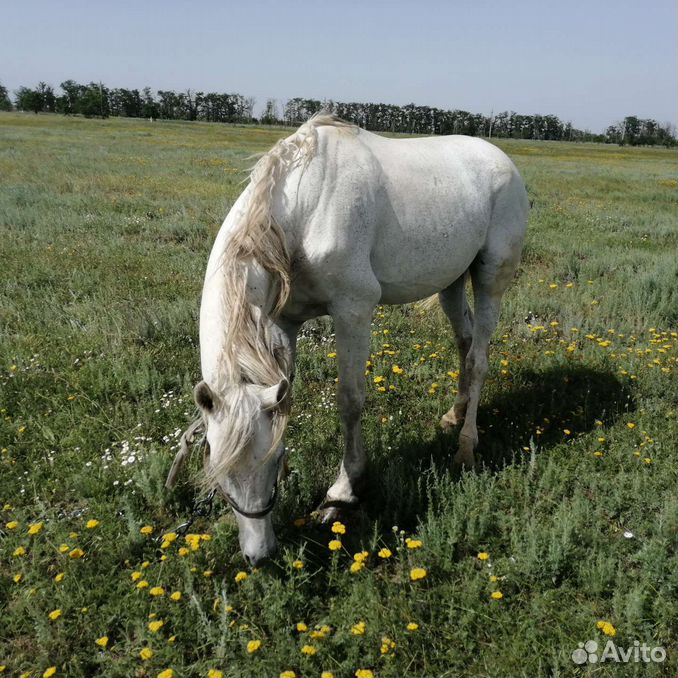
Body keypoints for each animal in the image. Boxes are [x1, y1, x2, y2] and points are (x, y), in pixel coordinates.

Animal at [166, 114, 532, 564]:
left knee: (479, 359)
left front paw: (341, 493)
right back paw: (454, 413)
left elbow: (351, 401)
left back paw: (465, 446)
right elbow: (287, 396)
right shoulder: (284, 322)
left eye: (270, 462)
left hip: (491, 277)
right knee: (464, 343)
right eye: (215, 467)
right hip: (451, 281)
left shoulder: (353, 310)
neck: (302, 211)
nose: (259, 555)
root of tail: (502, 160)